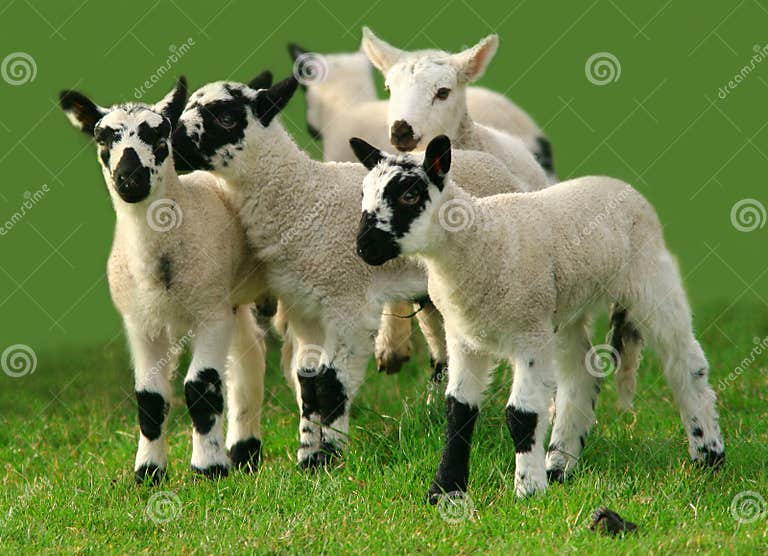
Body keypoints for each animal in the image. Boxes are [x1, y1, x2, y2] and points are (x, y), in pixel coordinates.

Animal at [59, 76, 272, 483]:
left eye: (160, 136)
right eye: (102, 140)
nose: (130, 177)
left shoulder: (210, 314)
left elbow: (200, 389)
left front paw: (208, 468)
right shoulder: (141, 323)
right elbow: (150, 397)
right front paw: (148, 472)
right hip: (231, 295)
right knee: (248, 356)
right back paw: (245, 452)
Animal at [171, 75, 536, 468]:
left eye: (225, 118)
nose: (170, 143)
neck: (300, 198)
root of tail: (497, 165)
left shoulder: (347, 300)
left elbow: (332, 383)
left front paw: (329, 458)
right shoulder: (303, 308)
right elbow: (308, 382)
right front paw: (307, 456)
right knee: (442, 351)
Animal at [351, 134, 725, 501]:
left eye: (409, 195)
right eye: (364, 194)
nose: (363, 248)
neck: (478, 243)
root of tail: (621, 186)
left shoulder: (528, 334)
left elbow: (521, 415)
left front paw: (527, 490)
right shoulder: (464, 337)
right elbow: (459, 411)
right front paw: (445, 490)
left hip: (649, 279)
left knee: (685, 362)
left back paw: (709, 455)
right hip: (563, 313)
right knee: (580, 376)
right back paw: (560, 465)